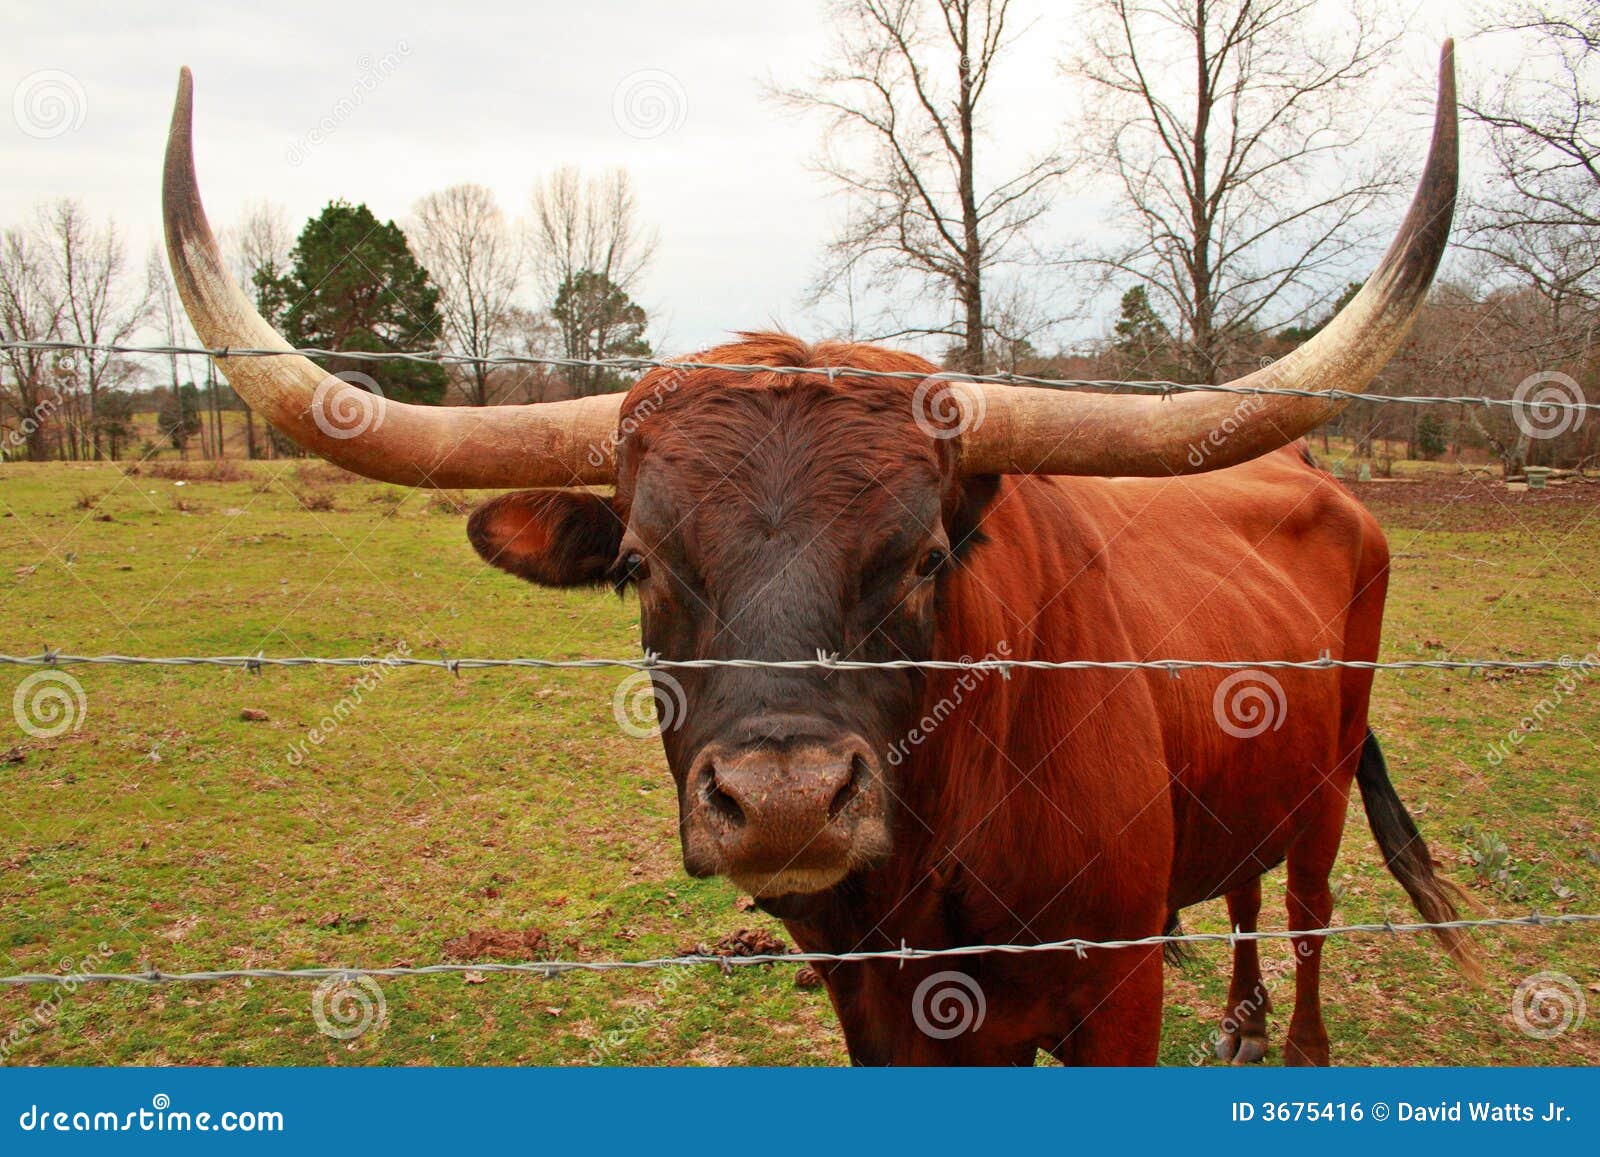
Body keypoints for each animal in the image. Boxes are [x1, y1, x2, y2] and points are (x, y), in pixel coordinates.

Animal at [160, 42, 1474, 1065]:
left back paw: (1292, 1042)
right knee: (1245, 883)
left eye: (927, 559)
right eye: (639, 565)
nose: (785, 801)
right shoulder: (880, 1013)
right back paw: (1242, 1020)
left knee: (1306, 905)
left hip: (1324, 784)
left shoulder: (1115, 993)